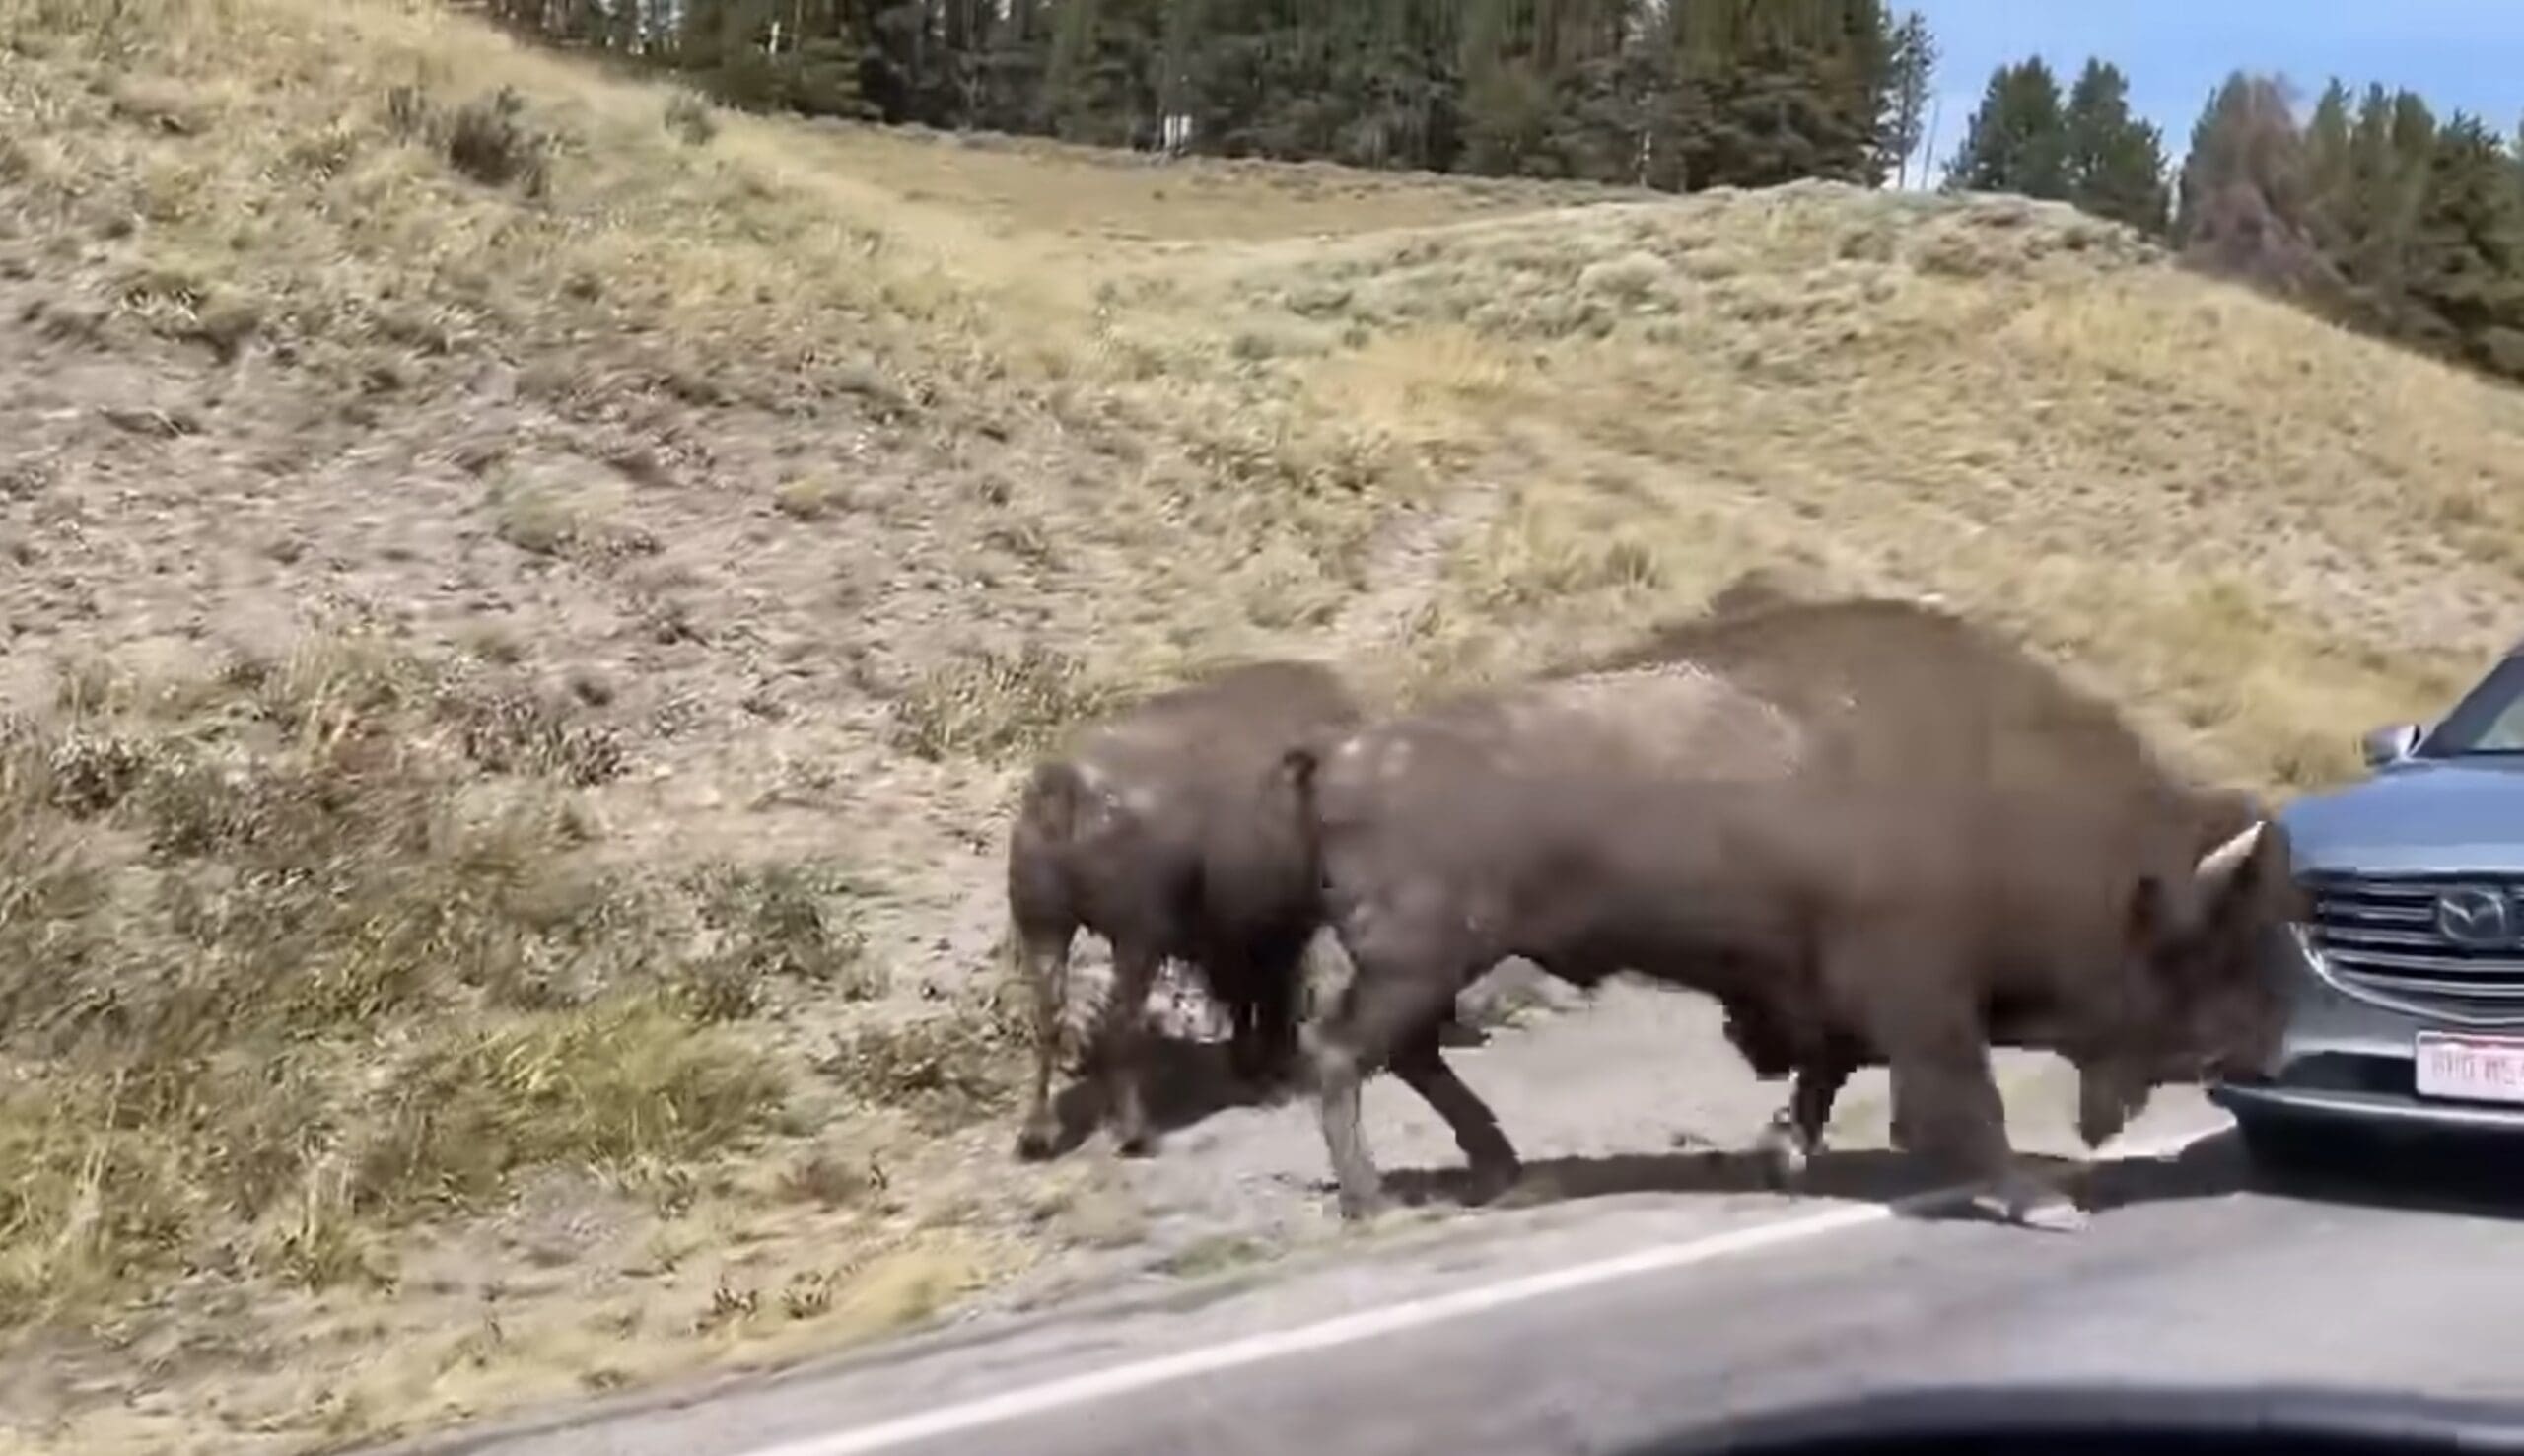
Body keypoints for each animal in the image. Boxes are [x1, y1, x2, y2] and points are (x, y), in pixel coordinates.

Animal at [1009, 658, 1363, 1161]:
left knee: (1049, 1019)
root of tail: (1067, 787)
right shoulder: (1278, 927)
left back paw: (1036, 1136)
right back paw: (1137, 1134)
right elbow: (1270, 991)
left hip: (1044, 932)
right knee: (1120, 1026)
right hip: (1135, 943)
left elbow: (1247, 994)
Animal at [1275, 592, 2289, 1231]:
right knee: (1344, 1051)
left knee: (1403, 1054)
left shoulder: (1841, 999)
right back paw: (1374, 1201)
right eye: (2220, 944)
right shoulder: (1921, 1000)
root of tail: (1342, 752)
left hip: (1431, 965)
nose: (2267, 1048)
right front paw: (2040, 1200)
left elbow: (1825, 1075)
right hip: (1421, 959)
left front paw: (1783, 1153)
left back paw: (1497, 1168)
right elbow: (1960, 1103)